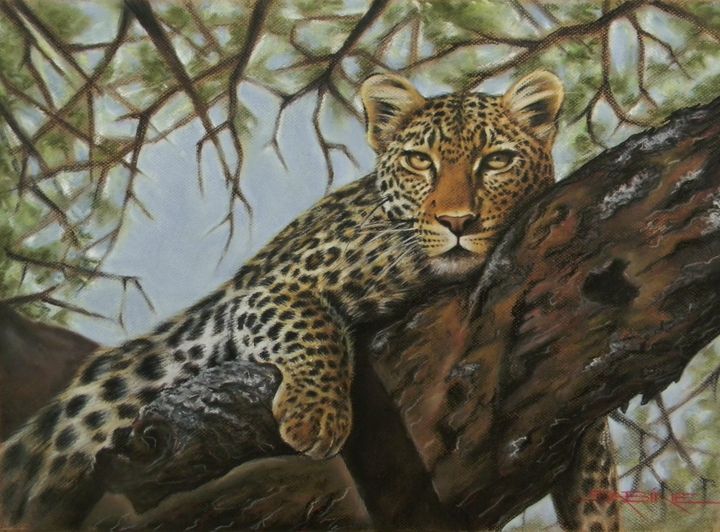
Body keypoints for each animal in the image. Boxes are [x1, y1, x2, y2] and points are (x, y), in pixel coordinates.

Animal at [0, 70, 618, 530]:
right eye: (421, 161)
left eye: (497, 162)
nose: (458, 222)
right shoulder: (269, 288)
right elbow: (312, 328)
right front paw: (315, 416)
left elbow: (595, 460)